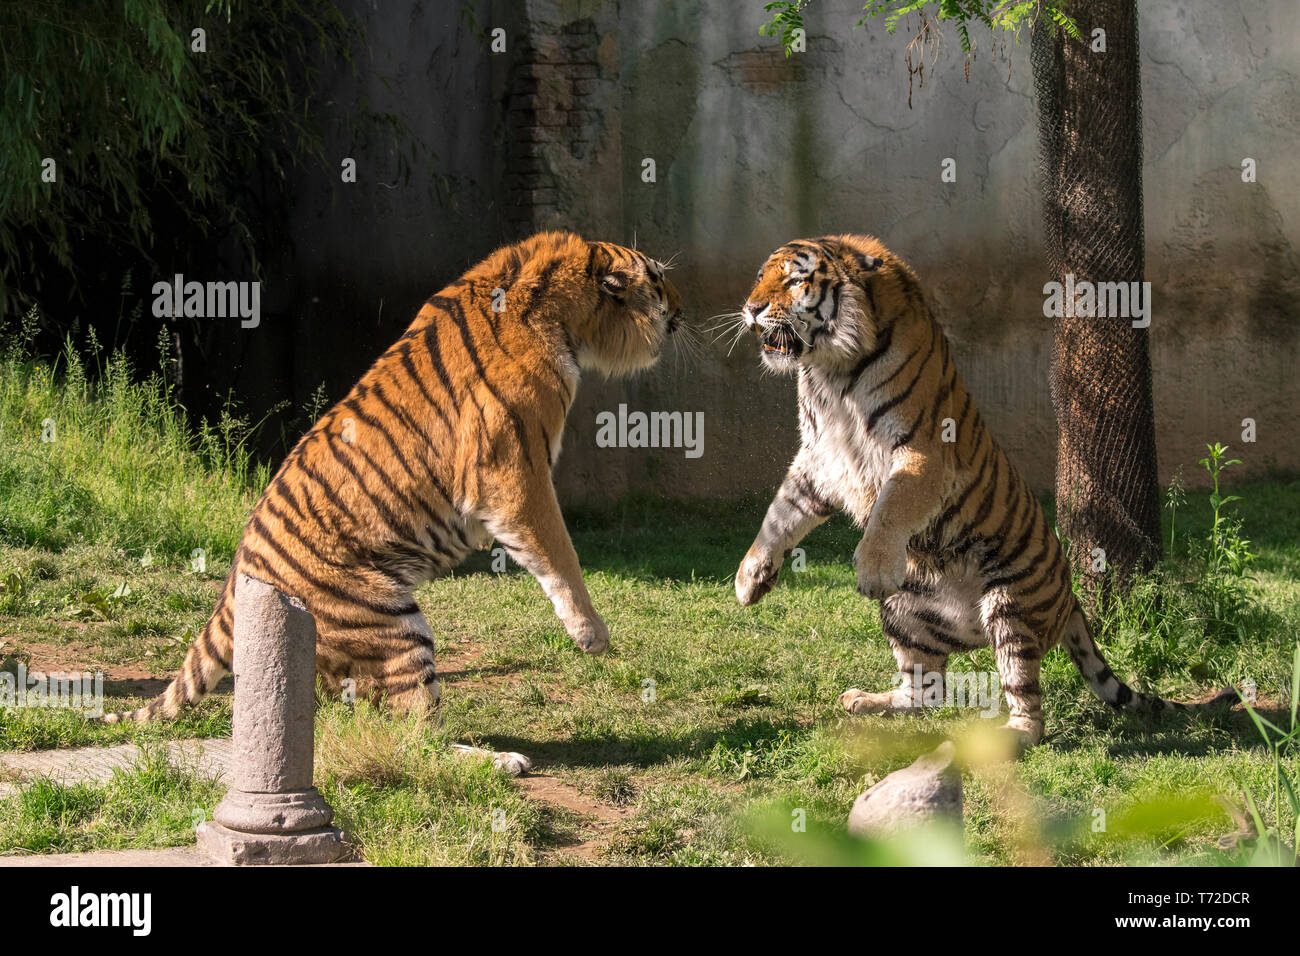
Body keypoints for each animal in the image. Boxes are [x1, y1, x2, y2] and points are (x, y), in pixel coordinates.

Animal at [103, 231, 685, 769]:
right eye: (658, 279)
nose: (683, 310)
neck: (557, 302)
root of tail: (232, 583)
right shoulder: (513, 473)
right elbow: (558, 551)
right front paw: (592, 634)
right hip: (391, 625)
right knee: (415, 740)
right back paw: (498, 762)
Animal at [732, 234, 1235, 748]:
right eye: (759, 278)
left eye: (795, 281)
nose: (750, 309)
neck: (830, 372)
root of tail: (1070, 595)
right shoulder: (821, 461)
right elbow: (780, 514)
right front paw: (749, 578)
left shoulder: (923, 452)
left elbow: (892, 507)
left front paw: (871, 568)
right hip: (904, 613)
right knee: (926, 693)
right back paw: (866, 700)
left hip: (1011, 606)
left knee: (1024, 697)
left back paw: (1014, 734)